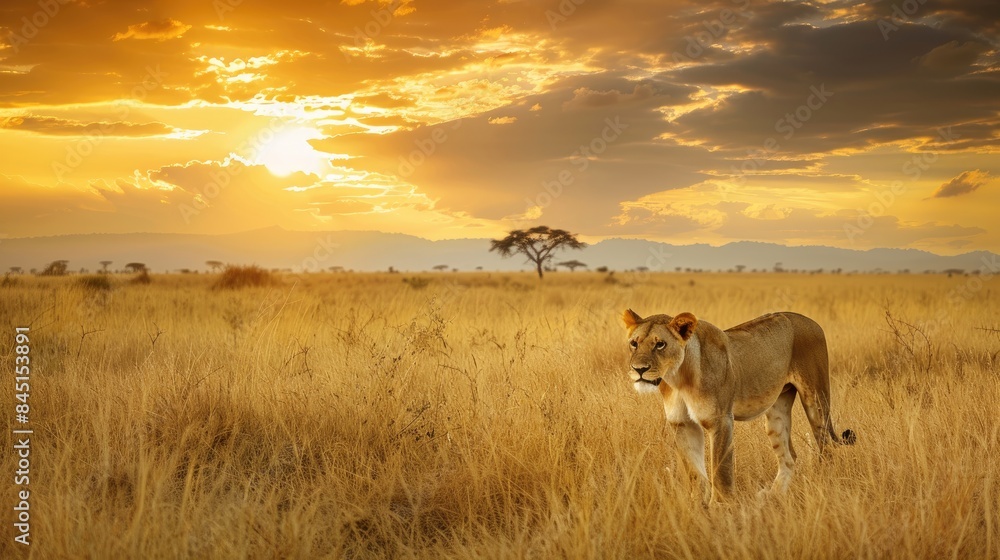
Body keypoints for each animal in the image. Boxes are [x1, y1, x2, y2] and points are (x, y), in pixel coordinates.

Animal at [622, 309, 855, 501]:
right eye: (634, 343)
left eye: (660, 344)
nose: (639, 369)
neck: (679, 378)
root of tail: (811, 321)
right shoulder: (682, 424)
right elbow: (695, 472)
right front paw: (697, 508)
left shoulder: (721, 421)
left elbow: (720, 471)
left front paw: (721, 510)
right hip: (777, 412)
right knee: (789, 456)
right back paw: (772, 496)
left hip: (816, 399)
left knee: (826, 447)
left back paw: (824, 486)